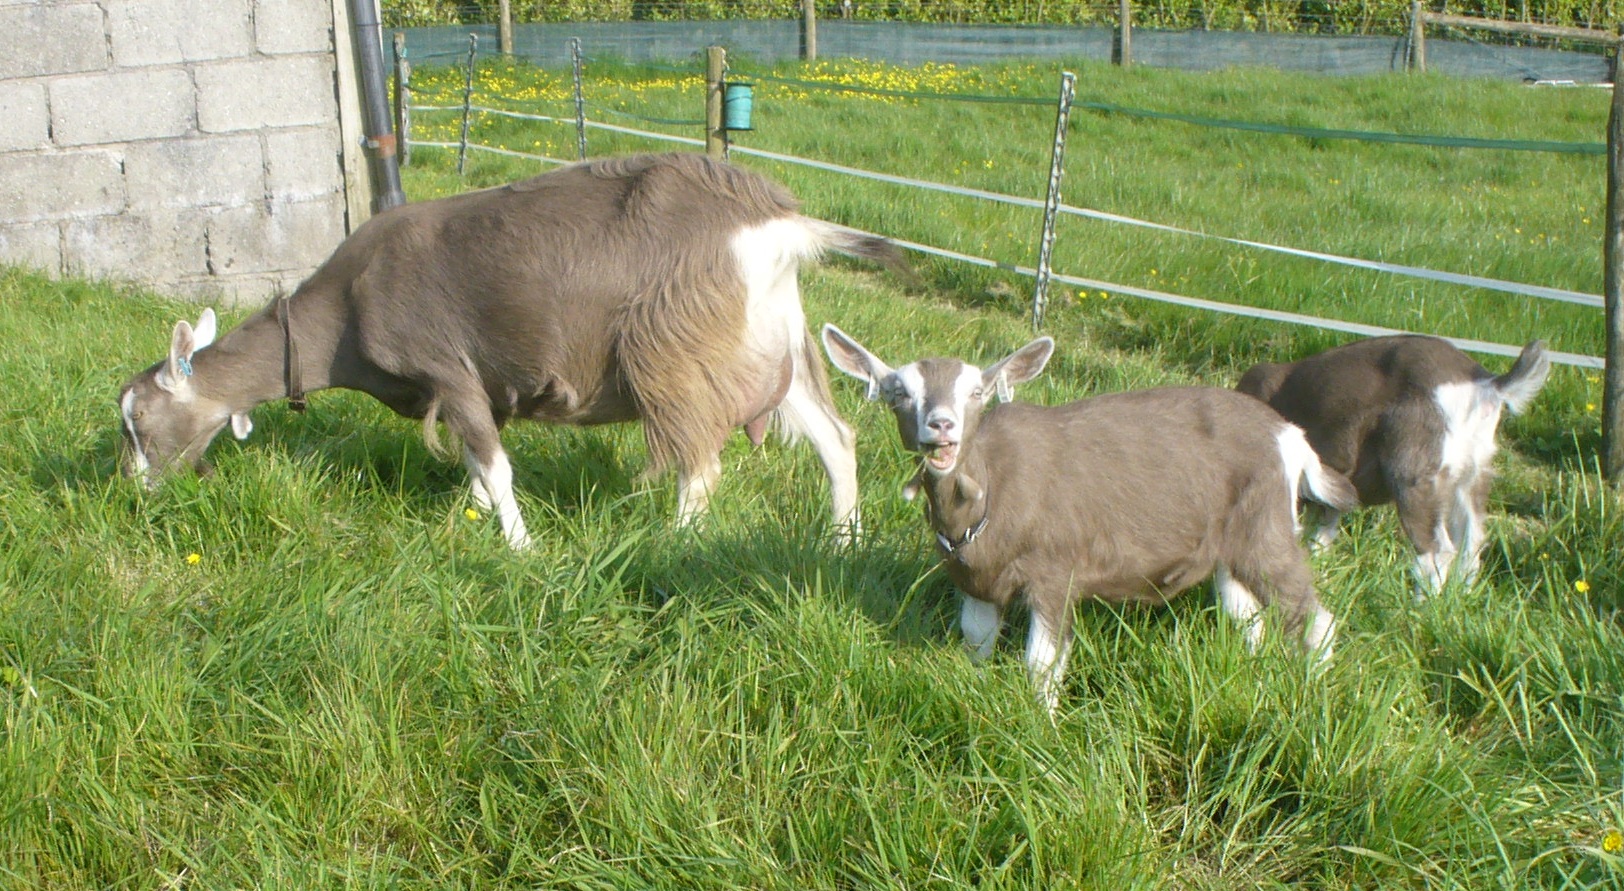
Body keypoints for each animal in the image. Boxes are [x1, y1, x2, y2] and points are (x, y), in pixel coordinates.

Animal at [117, 153, 905, 546]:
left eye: (139, 417)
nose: (131, 486)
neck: (344, 308)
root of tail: (776, 221)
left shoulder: (448, 366)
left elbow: (496, 467)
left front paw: (521, 550)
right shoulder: (472, 389)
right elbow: (475, 462)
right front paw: (461, 525)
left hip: (678, 348)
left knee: (700, 463)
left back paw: (674, 546)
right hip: (778, 343)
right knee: (836, 438)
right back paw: (844, 539)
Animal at [822, 325, 1358, 711]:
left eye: (977, 392)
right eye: (898, 392)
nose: (941, 426)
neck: (990, 488)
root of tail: (1289, 435)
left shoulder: (1056, 574)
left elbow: (1041, 662)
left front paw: (1042, 726)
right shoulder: (975, 581)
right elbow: (976, 640)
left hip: (1268, 529)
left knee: (1315, 619)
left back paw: (1314, 693)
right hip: (1233, 546)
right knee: (1248, 617)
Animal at [1236, 335, 1550, 594]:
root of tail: (1487, 384)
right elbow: (1322, 536)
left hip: (1414, 474)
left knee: (1436, 551)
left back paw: (1420, 611)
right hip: (1471, 476)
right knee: (1472, 545)